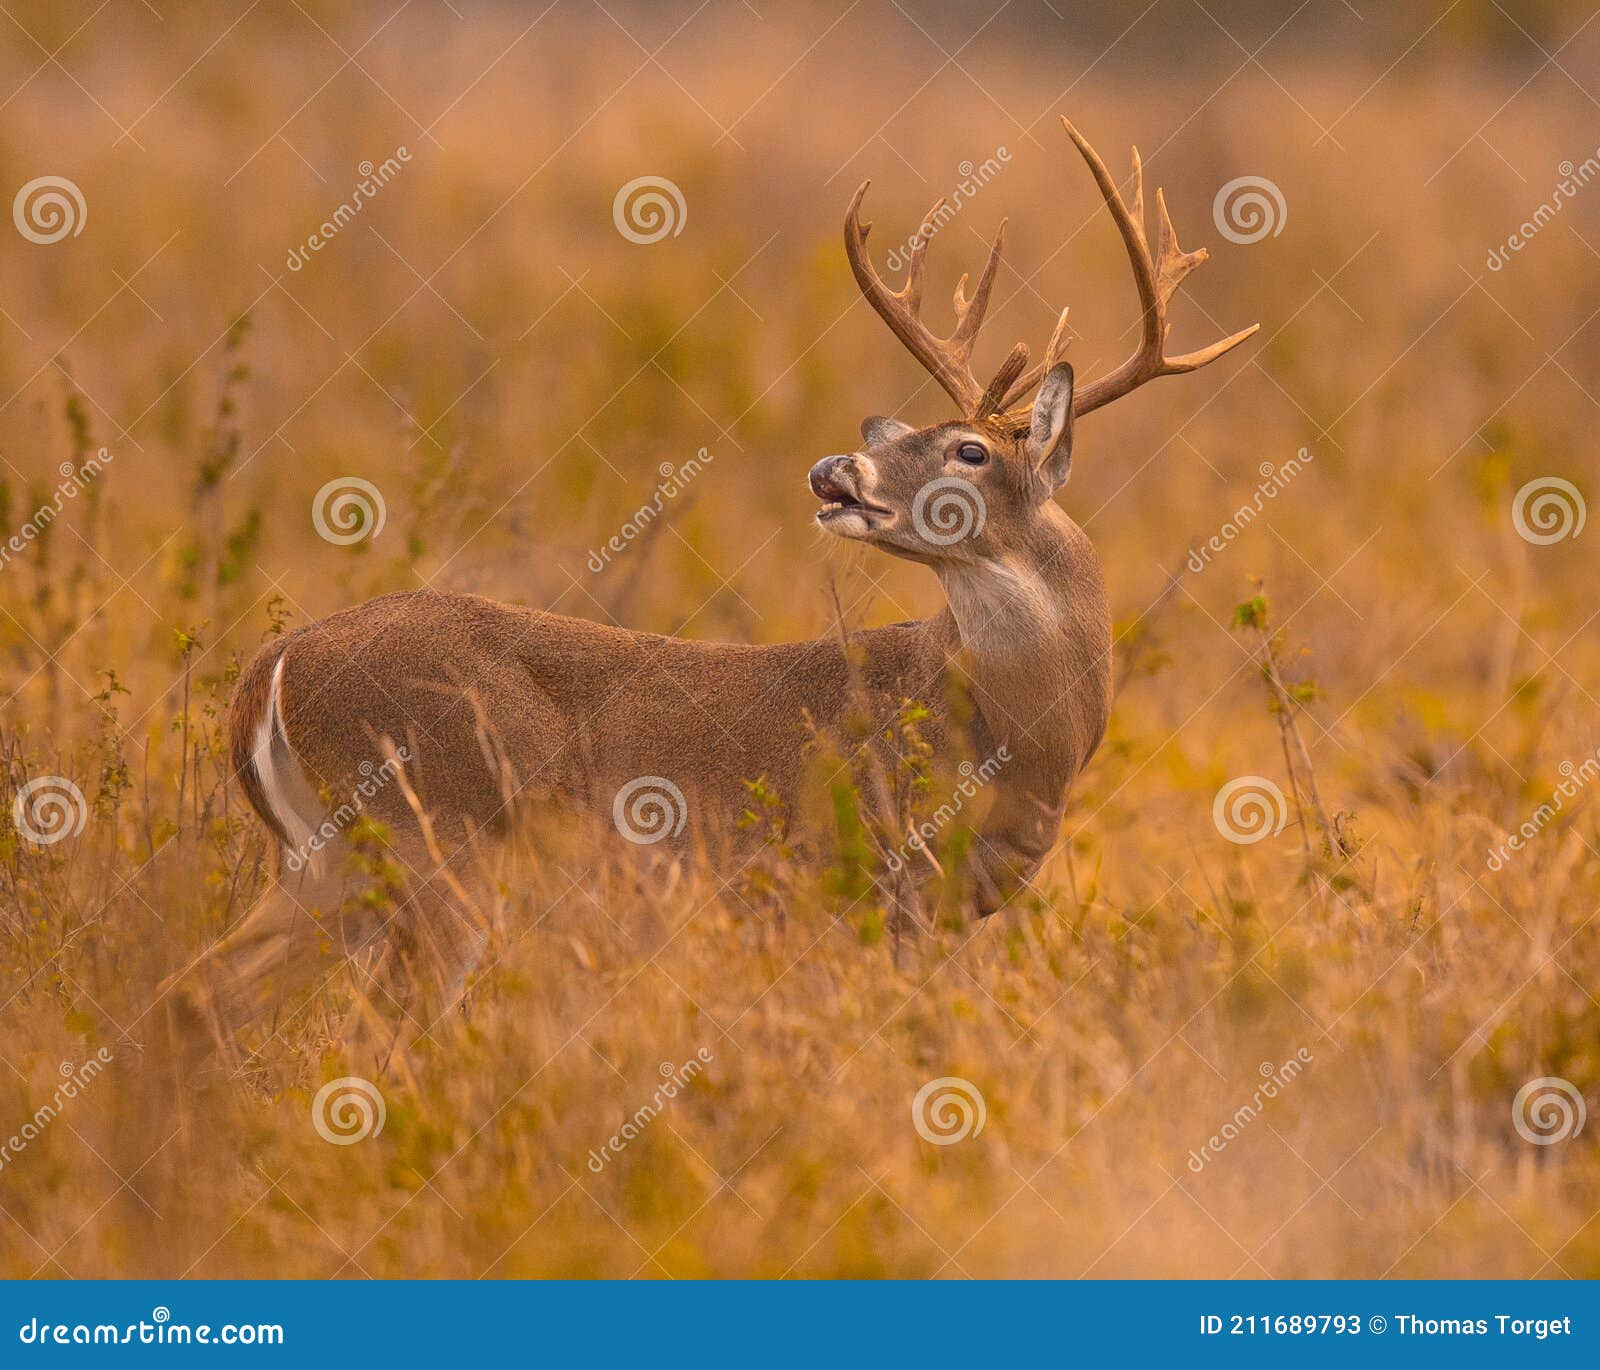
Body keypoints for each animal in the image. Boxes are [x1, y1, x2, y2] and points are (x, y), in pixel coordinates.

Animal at [166, 117, 1256, 1058]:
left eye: (968, 449)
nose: (832, 472)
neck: (1023, 735)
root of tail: (271, 663)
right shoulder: (876, 878)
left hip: (322, 862)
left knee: (202, 989)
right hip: (429, 839)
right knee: (376, 1030)